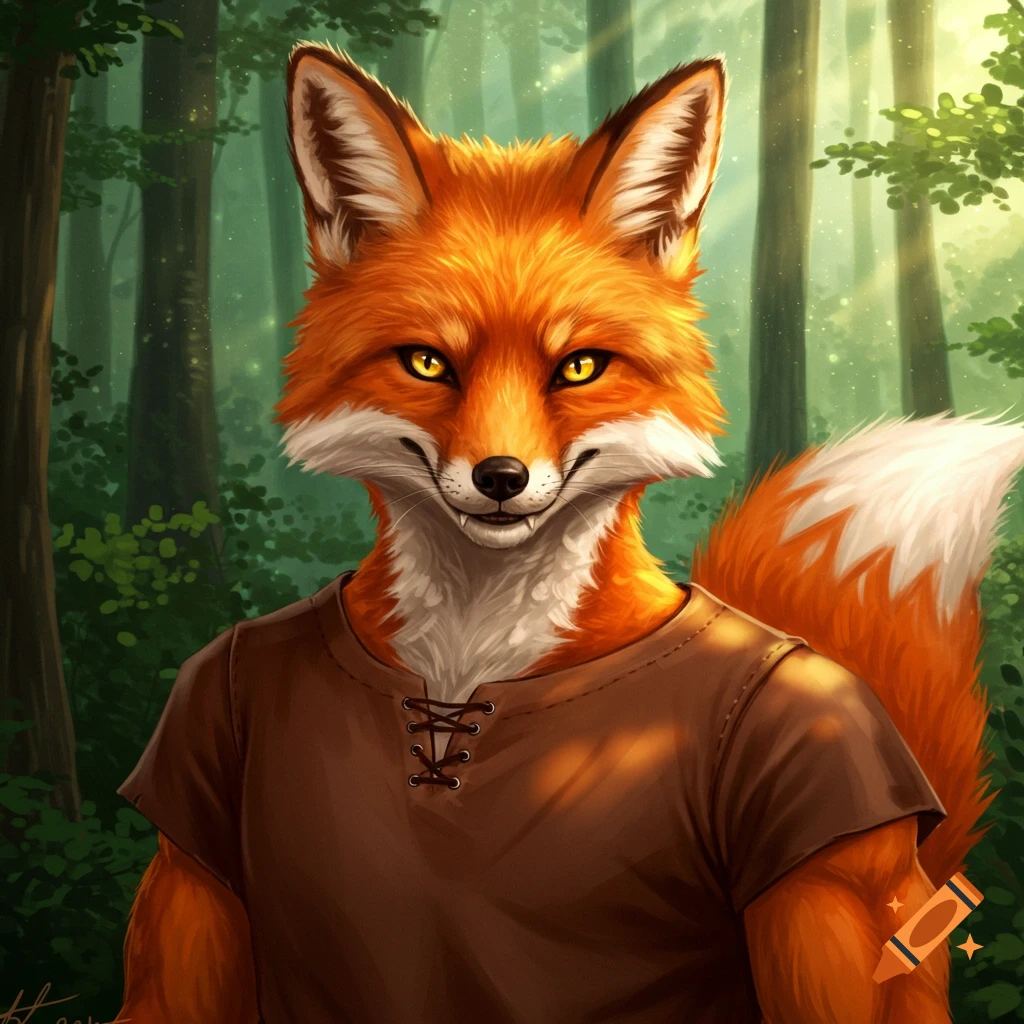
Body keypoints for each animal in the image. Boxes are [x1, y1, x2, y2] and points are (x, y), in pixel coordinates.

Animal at [116, 42, 1017, 1023]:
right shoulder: (198, 743)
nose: (501, 479)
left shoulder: (820, 770)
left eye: (579, 367)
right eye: (428, 362)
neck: (468, 660)